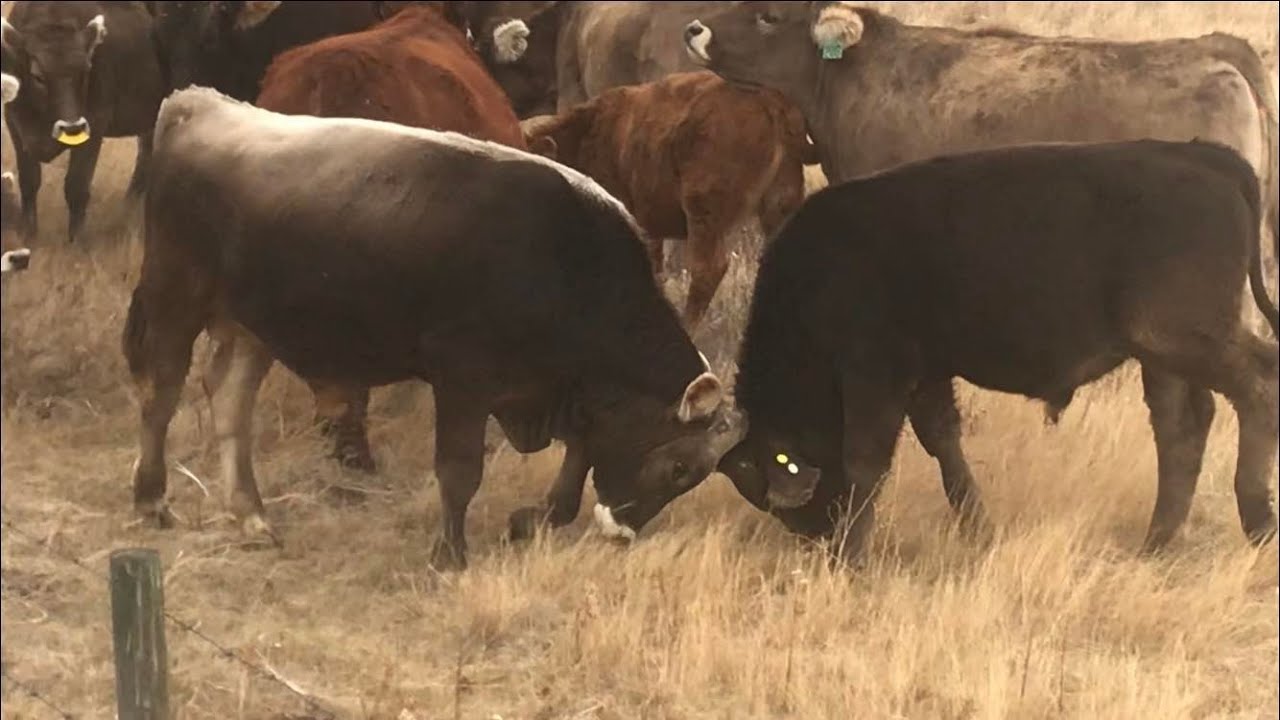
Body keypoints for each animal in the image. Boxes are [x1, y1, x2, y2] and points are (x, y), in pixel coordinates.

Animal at [2, 1, 164, 243]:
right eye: (38, 76)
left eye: (85, 71)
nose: (72, 126)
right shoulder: (15, 125)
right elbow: (29, 181)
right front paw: (28, 233)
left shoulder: (94, 126)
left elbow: (76, 186)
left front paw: (76, 240)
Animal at [124, 87, 728, 570]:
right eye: (678, 467)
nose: (622, 533)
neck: (565, 258)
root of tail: (197, 103)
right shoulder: (463, 378)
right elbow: (460, 470)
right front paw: (450, 554)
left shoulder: (566, 390)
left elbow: (573, 473)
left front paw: (528, 520)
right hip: (175, 298)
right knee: (161, 394)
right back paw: (152, 498)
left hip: (252, 328)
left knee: (230, 403)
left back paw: (250, 515)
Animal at [715, 139, 1279, 564]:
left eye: (764, 477)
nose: (815, 535)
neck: (817, 278)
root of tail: (1201, 153)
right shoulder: (927, 374)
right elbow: (944, 443)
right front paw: (979, 529)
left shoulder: (877, 375)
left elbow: (865, 461)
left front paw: (852, 558)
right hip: (1162, 356)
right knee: (1182, 428)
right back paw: (1157, 542)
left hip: (1177, 338)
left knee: (1257, 386)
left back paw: (1257, 522)